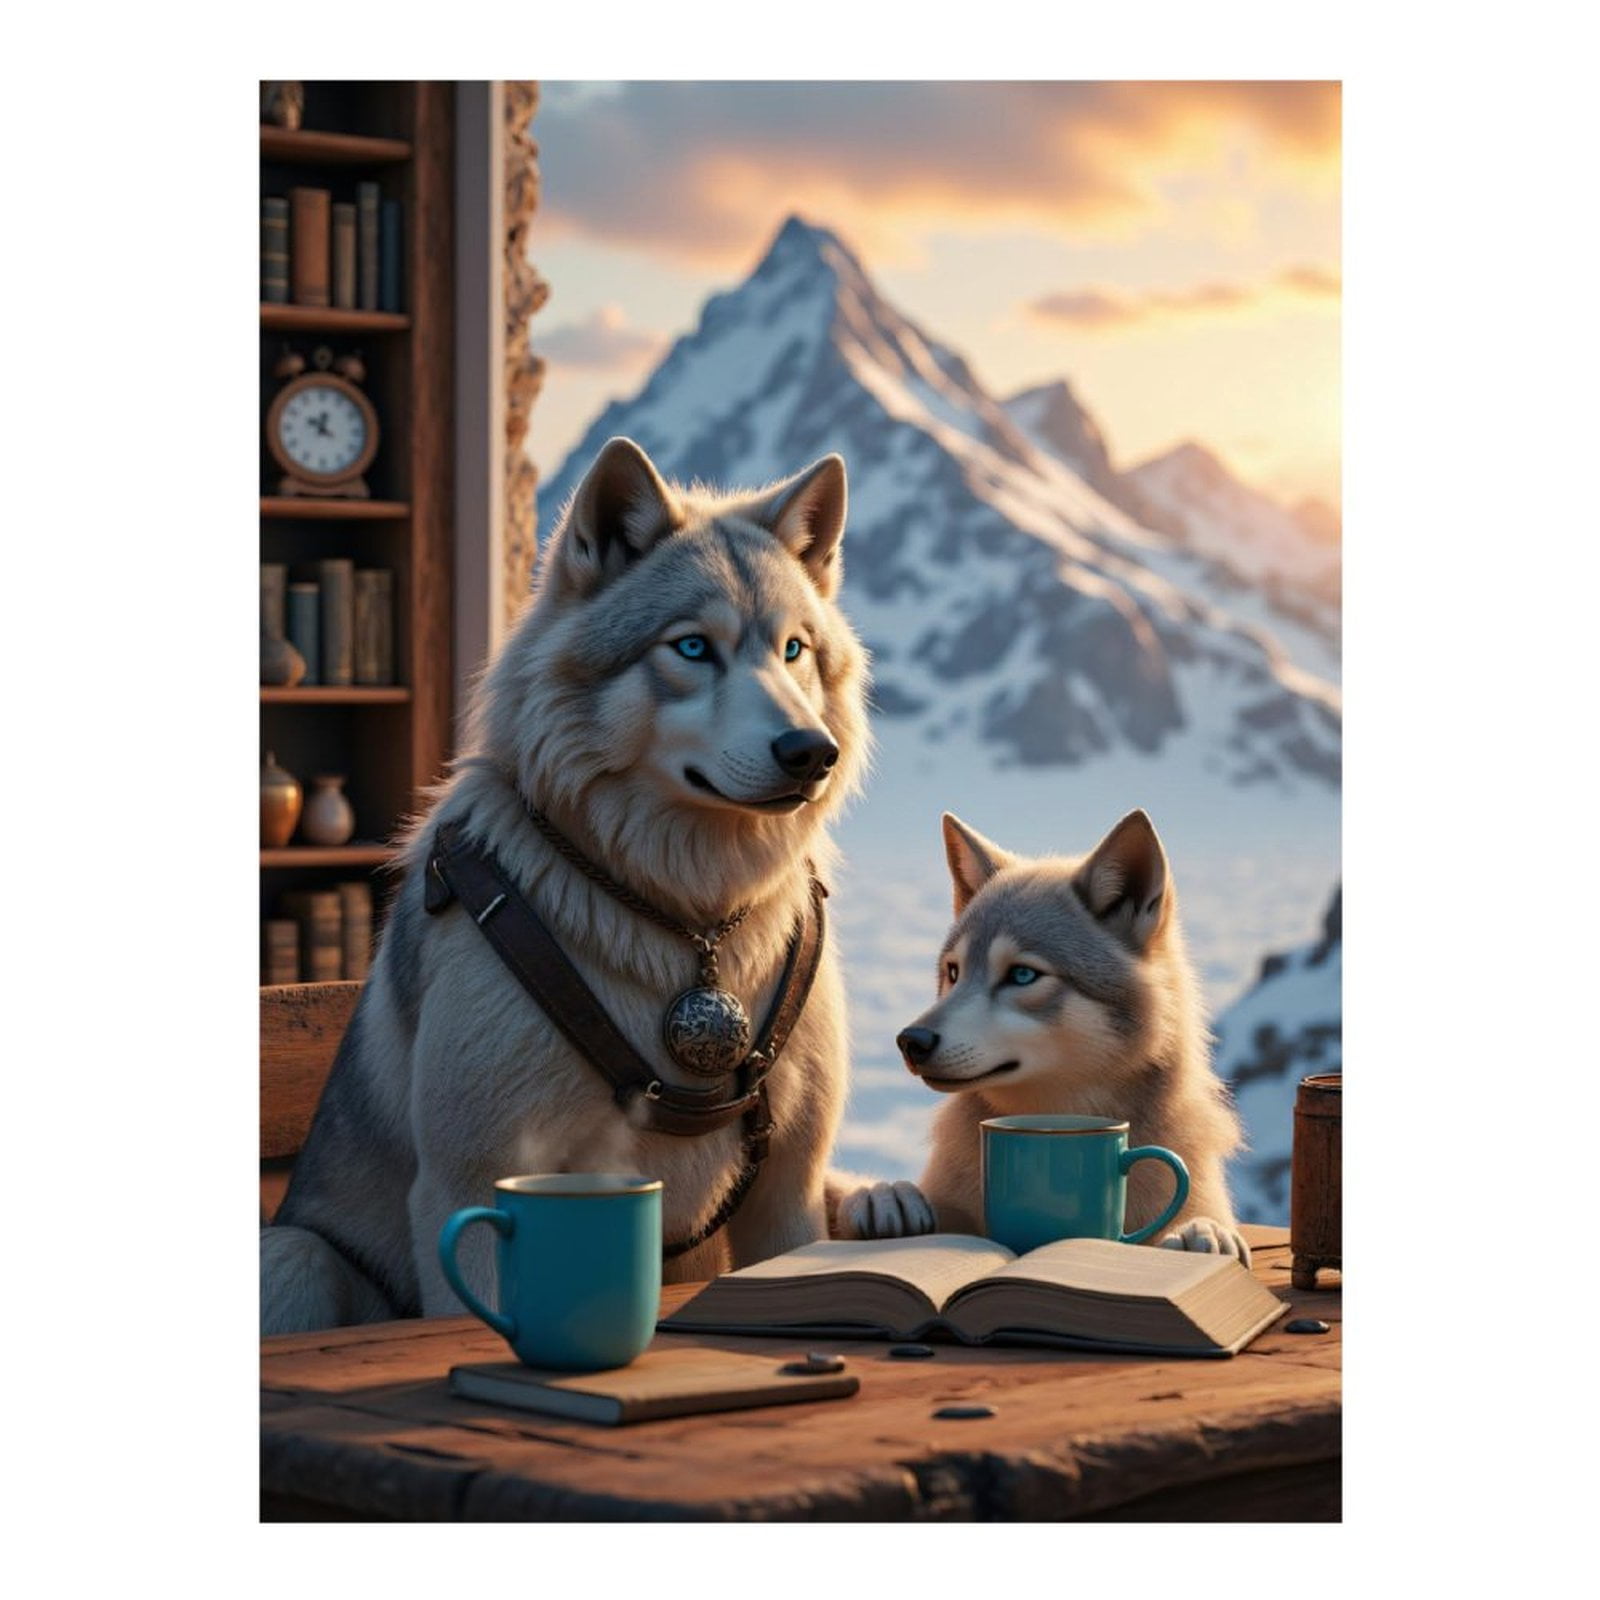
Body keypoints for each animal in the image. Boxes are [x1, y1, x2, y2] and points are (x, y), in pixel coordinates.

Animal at [262, 436, 871, 1334]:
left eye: (794, 649)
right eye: (692, 648)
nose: (811, 753)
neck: (690, 922)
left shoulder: (789, 1191)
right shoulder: (473, 1186)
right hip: (294, 1255)